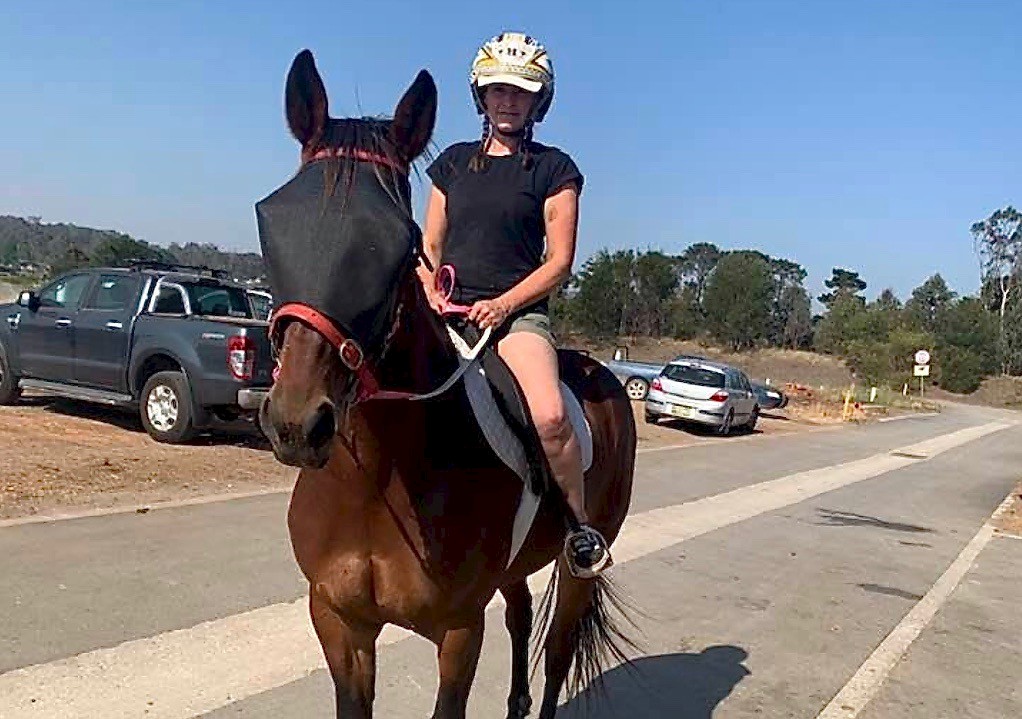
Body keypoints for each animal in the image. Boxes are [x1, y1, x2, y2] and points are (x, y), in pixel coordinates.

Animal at [257, 49, 637, 719]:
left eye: (400, 240)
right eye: (272, 219)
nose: (297, 424)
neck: (378, 484)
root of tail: (606, 378)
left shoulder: (459, 631)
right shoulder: (339, 622)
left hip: (577, 566)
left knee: (558, 652)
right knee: (520, 616)